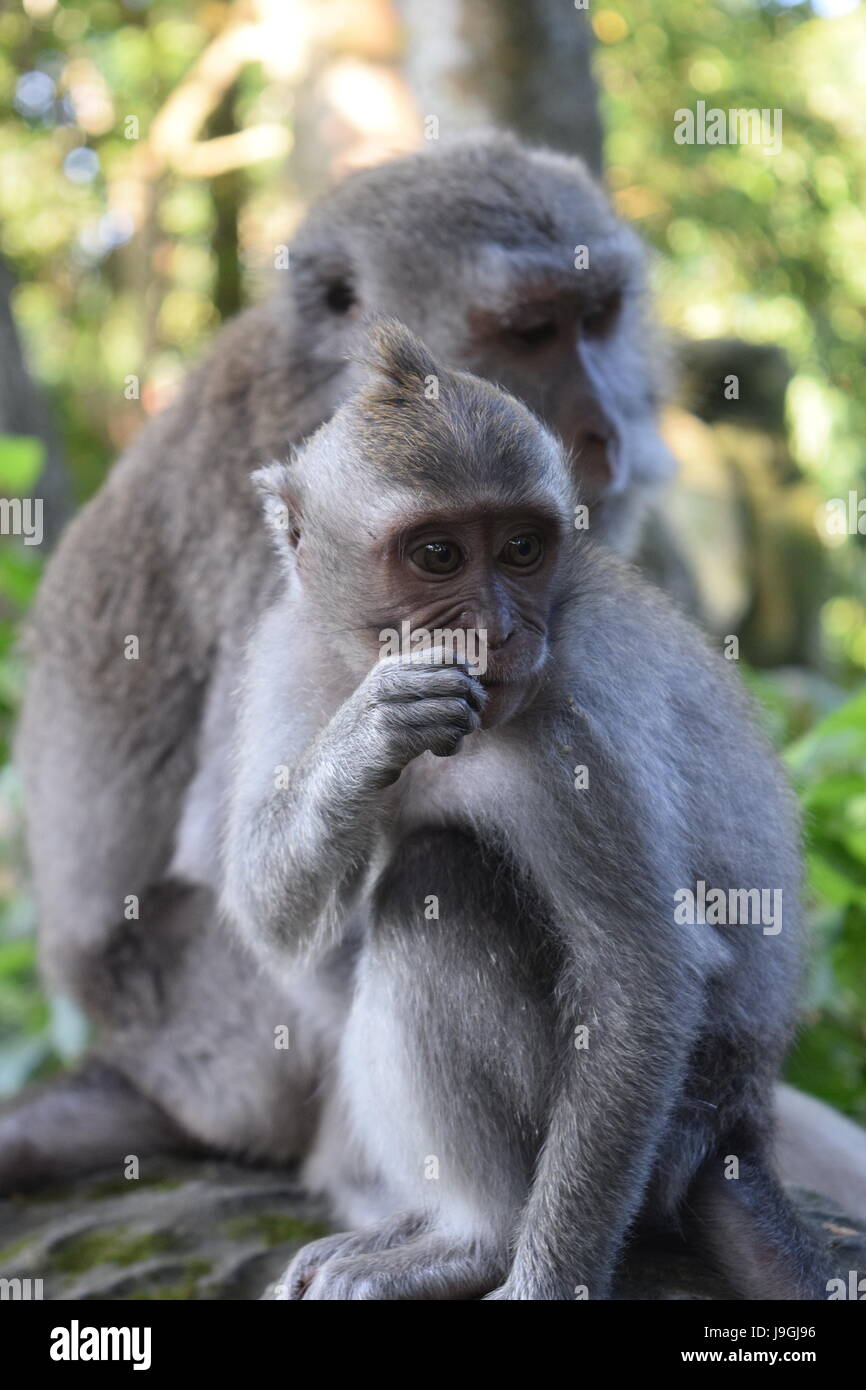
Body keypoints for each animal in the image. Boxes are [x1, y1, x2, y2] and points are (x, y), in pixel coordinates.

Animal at [3, 133, 676, 1187]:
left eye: (598, 317)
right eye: (531, 332)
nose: (605, 432)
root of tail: (128, 1050)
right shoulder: (301, 553)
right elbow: (236, 851)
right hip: (223, 1050)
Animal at [207, 318, 830, 1300]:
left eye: (523, 550)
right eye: (438, 555)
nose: (498, 631)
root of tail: (739, 1130)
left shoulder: (573, 733)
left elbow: (638, 980)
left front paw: (543, 1281)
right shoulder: (288, 648)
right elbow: (269, 915)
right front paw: (366, 738)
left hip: (660, 1144)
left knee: (439, 882)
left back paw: (480, 1240)